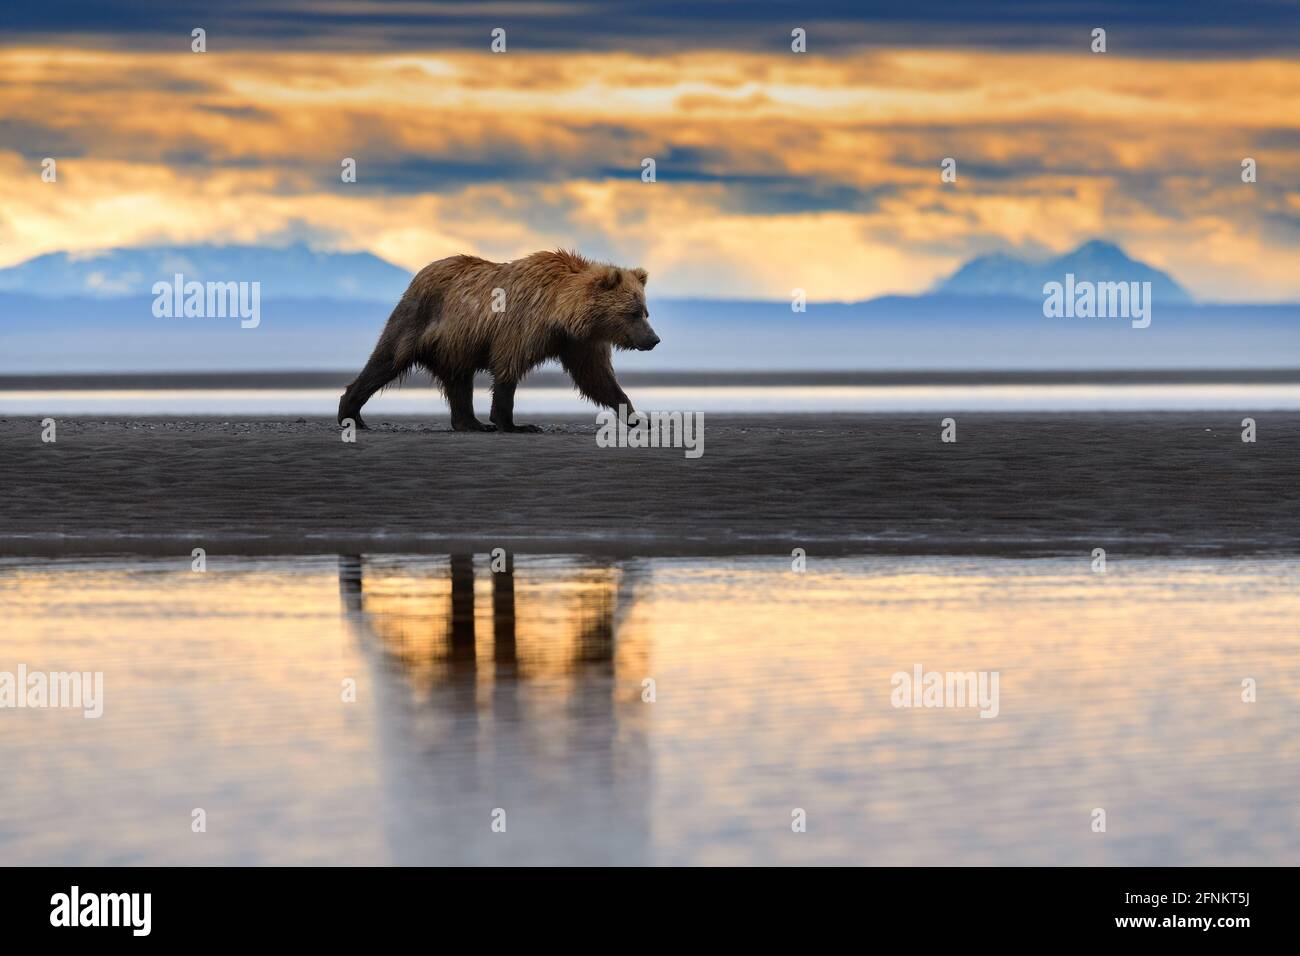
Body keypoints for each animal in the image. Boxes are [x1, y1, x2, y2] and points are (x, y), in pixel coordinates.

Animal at [338, 250, 659, 432]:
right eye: (633, 313)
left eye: (645, 311)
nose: (654, 339)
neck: (562, 314)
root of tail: (420, 273)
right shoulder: (520, 327)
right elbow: (507, 369)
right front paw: (515, 424)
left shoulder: (579, 343)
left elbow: (597, 379)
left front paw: (637, 417)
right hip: (418, 318)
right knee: (386, 360)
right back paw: (351, 413)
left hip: (454, 346)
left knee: (458, 381)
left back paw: (471, 423)